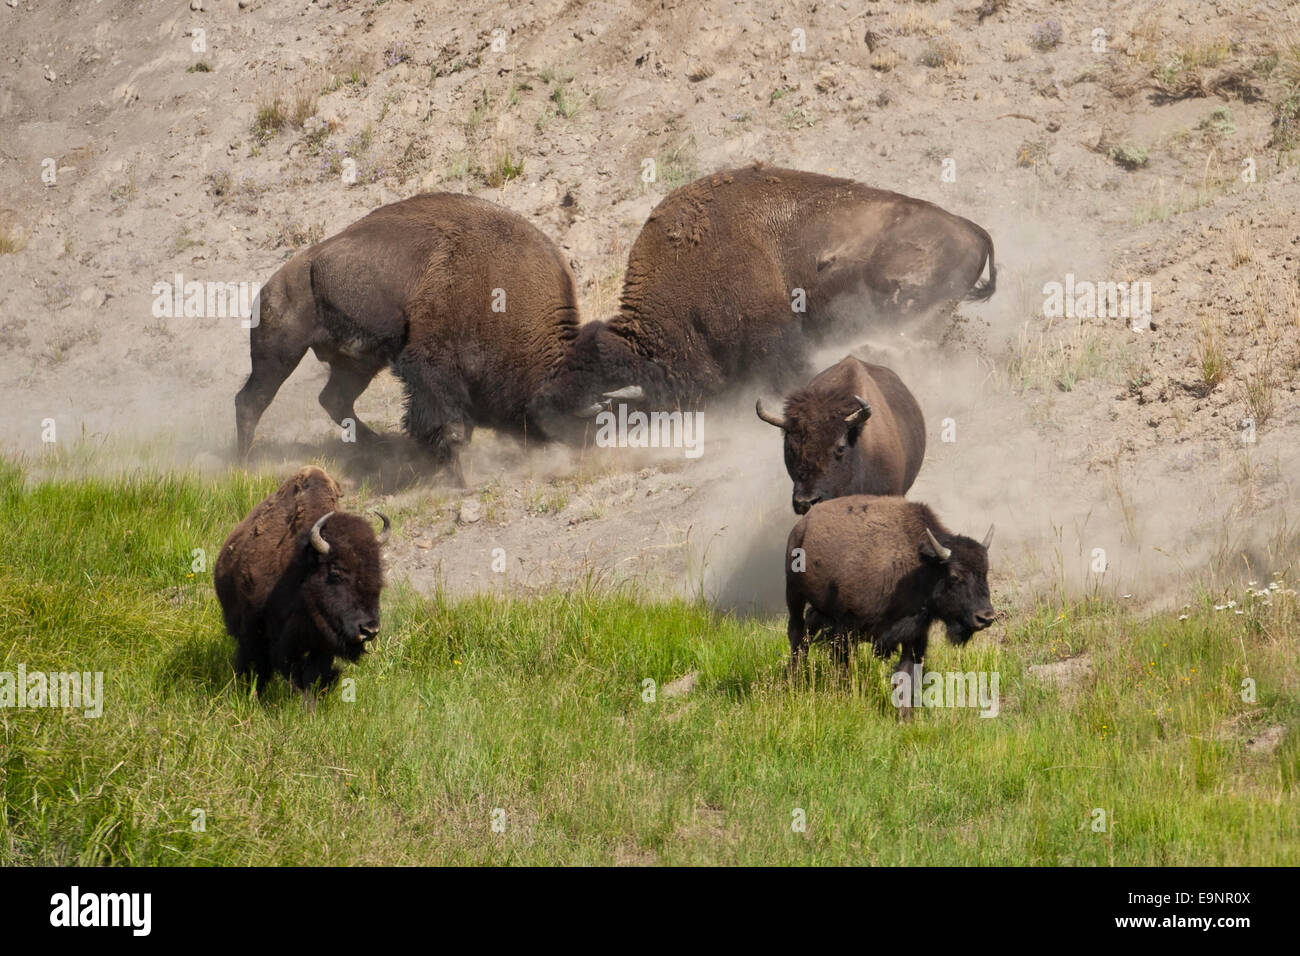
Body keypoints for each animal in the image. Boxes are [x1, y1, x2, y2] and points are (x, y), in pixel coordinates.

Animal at [214, 466, 390, 694]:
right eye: (336, 572)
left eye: (377, 574)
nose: (369, 630)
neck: (301, 568)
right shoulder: (263, 634)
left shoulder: (321, 645)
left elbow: (311, 675)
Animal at [236, 193, 580, 483]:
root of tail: (274, 282)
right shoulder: (430, 364)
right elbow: (447, 422)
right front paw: (456, 474)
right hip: (280, 353)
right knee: (252, 401)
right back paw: (244, 464)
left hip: (358, 363)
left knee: (333, 399)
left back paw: (379, 446)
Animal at [785, 495, 995, 718]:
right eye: (954, 576)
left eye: (985, 573)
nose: (986, 617)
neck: (920, 567)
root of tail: (803, 523)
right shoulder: (845, 627)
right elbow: (844, 663)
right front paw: (848, 697)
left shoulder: (915, 634)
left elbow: (907, 673)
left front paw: (905, 717)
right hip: (794, 593)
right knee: (797, 631)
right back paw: (791, 680)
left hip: (820, 608)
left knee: (810, 624)